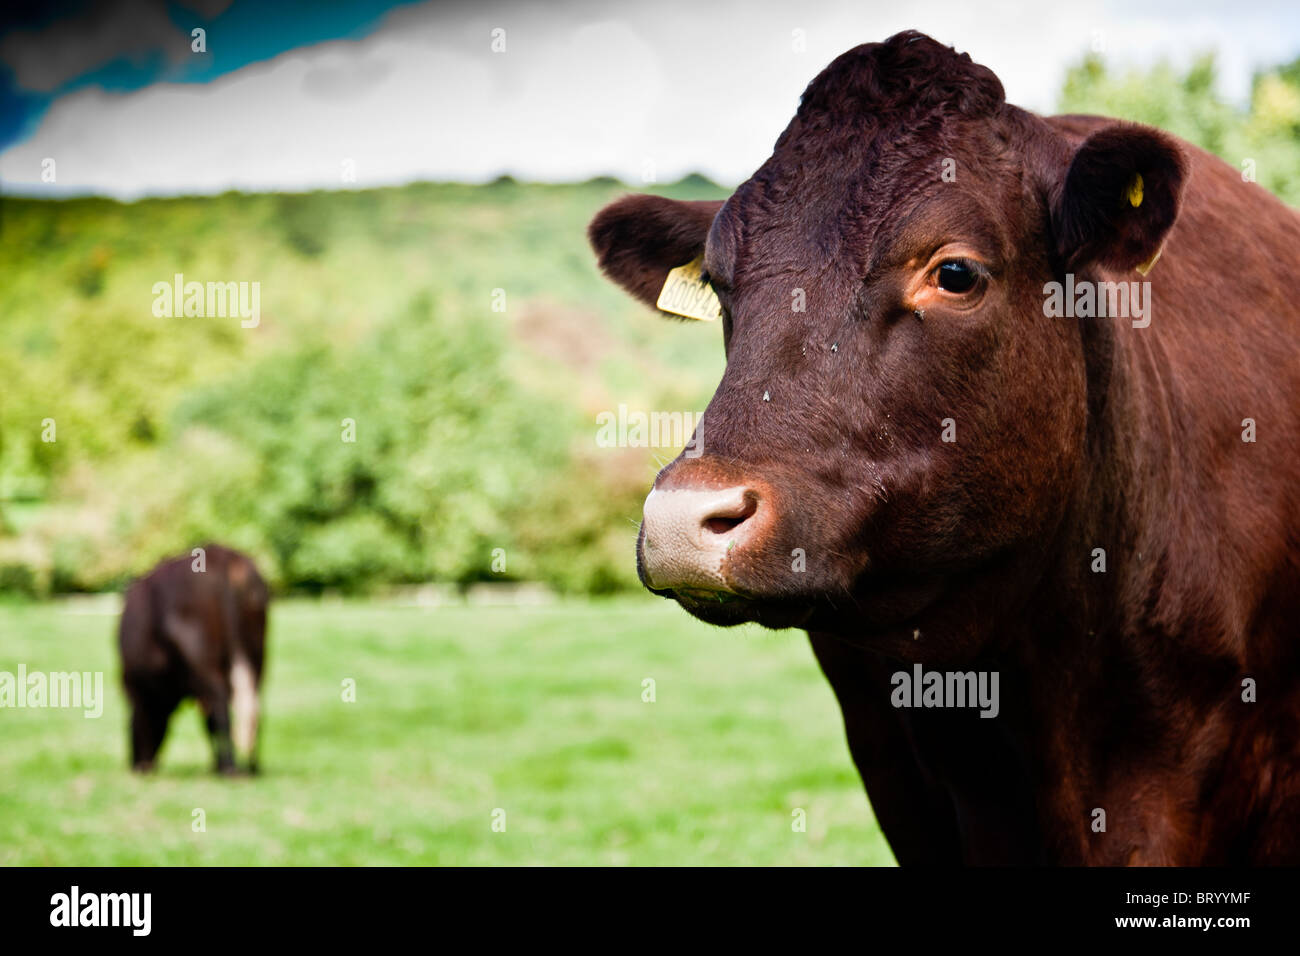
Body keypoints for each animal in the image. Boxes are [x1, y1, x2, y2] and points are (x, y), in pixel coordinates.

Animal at [118, 545, 269, 775]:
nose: (136, 765)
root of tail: (222, 554)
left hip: (201, 657)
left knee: (221, 703)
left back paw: (229, 769)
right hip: (256, 650)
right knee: (254, 705)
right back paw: (251, 768)